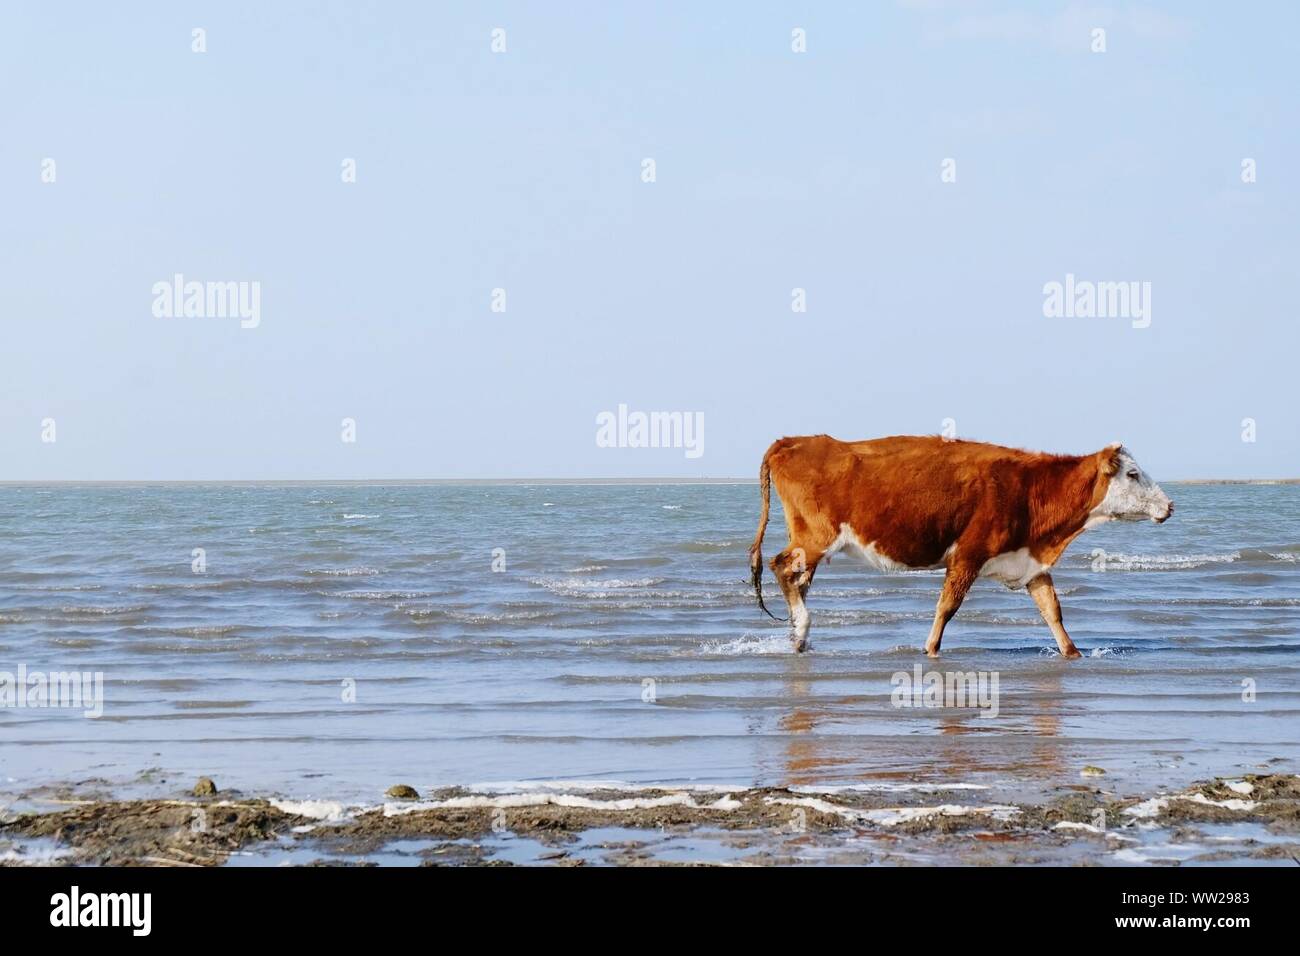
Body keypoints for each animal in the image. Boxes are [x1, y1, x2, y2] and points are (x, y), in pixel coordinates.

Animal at [748, 435, 1173, 658]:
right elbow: (947, 606)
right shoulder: (968, 554)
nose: (1169, 506)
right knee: (782, 567)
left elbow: (1053, 611)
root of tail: (796, 441)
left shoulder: (1029, 561)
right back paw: (802, 629)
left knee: (797, 580)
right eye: (1133, 474)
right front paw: (931, 649)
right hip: (814, 539)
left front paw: (1073, 653)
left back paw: (800, 636)